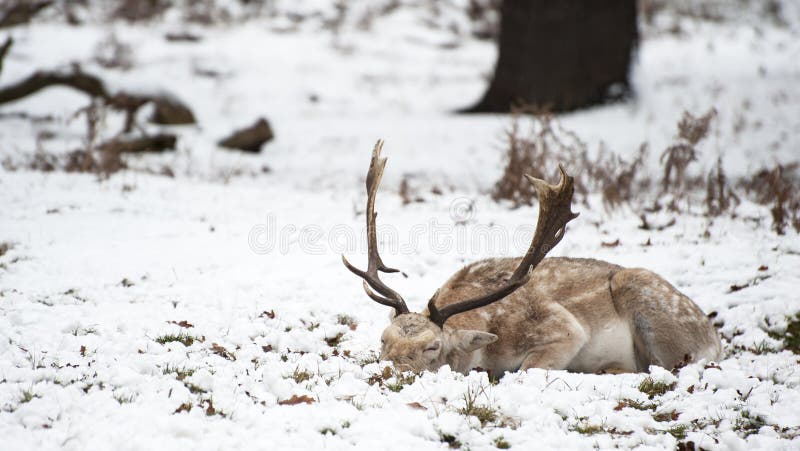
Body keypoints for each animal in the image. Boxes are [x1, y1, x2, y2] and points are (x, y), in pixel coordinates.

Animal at [343, 141, 721, 376]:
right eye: (383, 339)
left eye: (433, 347)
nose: (390, 371)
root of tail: (714, 337)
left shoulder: (564, 329)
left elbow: (529, 368)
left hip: (659, 318)